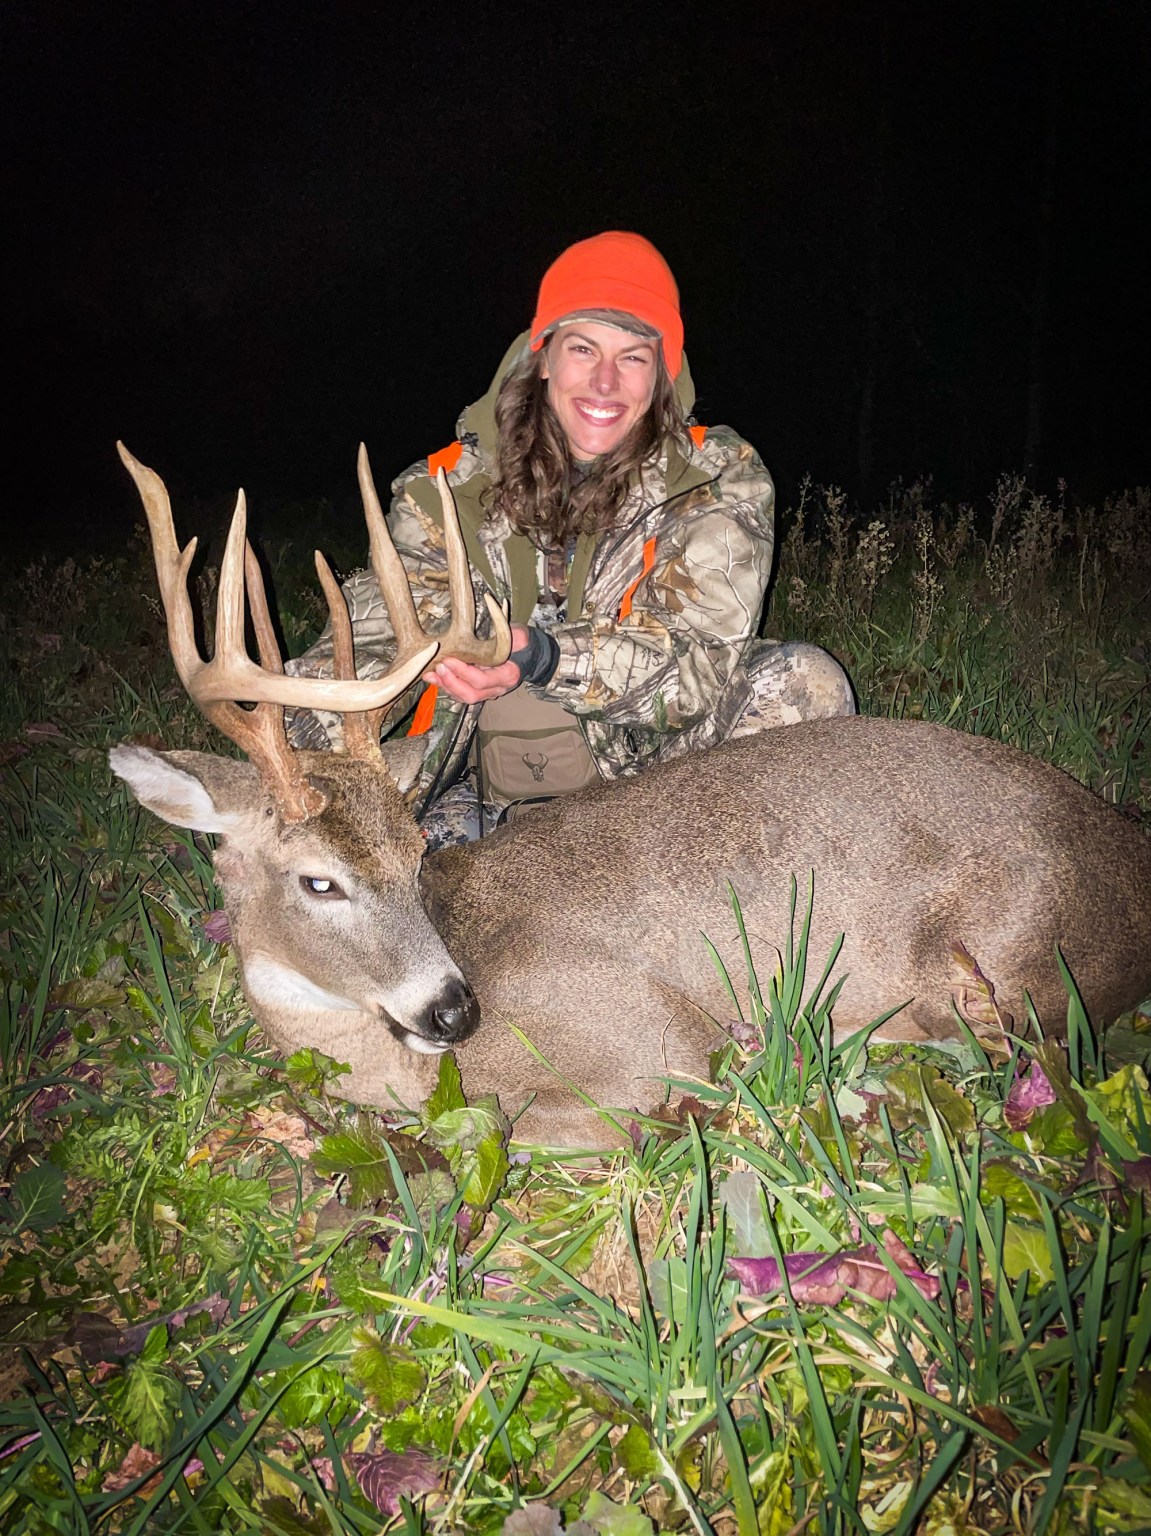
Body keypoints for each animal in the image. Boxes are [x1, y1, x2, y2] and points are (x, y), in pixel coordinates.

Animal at [109, 444, 1151, 1148]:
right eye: (318, 879)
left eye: (414, 855)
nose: (452, 1011)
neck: (395, 1067)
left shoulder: (642, 1032)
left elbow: (522, 1124)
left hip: (1006, 971)